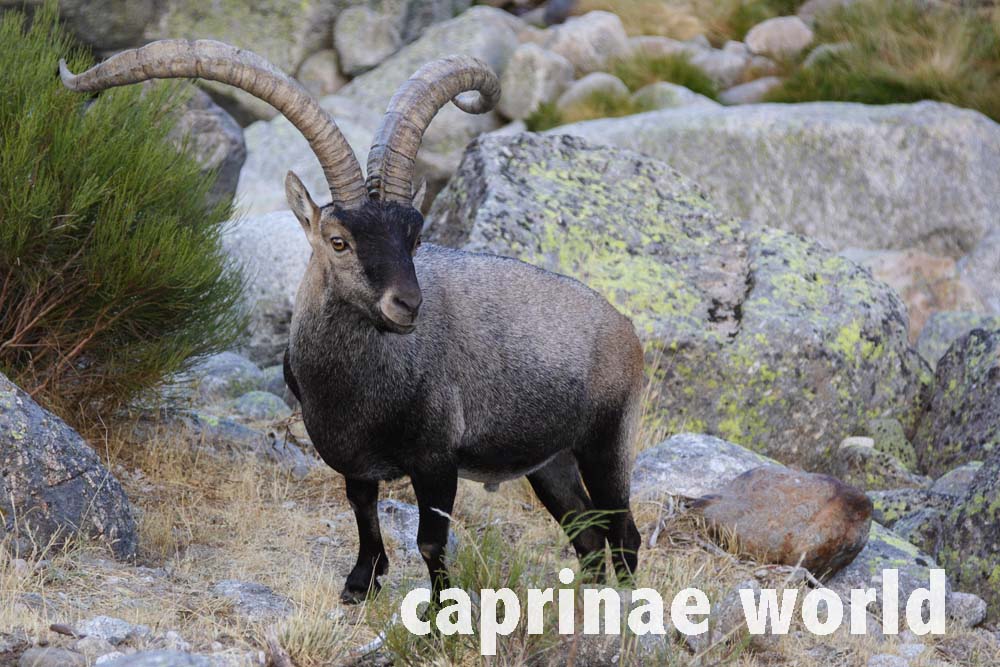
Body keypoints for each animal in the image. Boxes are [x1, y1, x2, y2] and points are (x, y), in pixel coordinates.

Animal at [61, 40, 645, 603]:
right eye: (338, 241)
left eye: (415, 236)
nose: (407, 305)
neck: (358, 383)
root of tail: (625, 328)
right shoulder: (351, 459)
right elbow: (363, 515)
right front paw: (359, 584)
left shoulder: (436, 459)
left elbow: (430, 539)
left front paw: (440, 611)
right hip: (550, 462)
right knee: (588, 533)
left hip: (606, 439)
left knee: (625, 532)